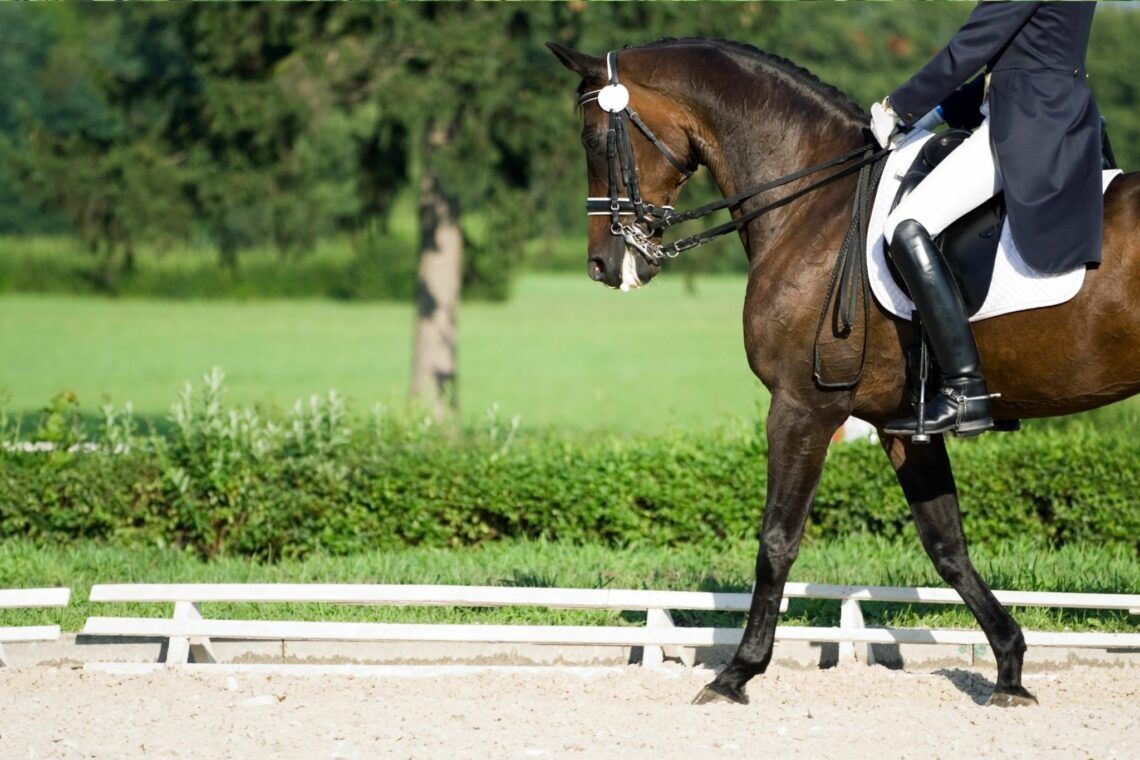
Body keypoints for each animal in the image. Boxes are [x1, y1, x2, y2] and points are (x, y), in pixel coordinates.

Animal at [548, 38, 1140, 707]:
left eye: (593, 138)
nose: (603, 264)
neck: (814, 203)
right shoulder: (904, 425)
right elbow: (946, 544)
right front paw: (1010, 669)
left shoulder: (803, 406)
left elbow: (777, 539)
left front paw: (737, 673)